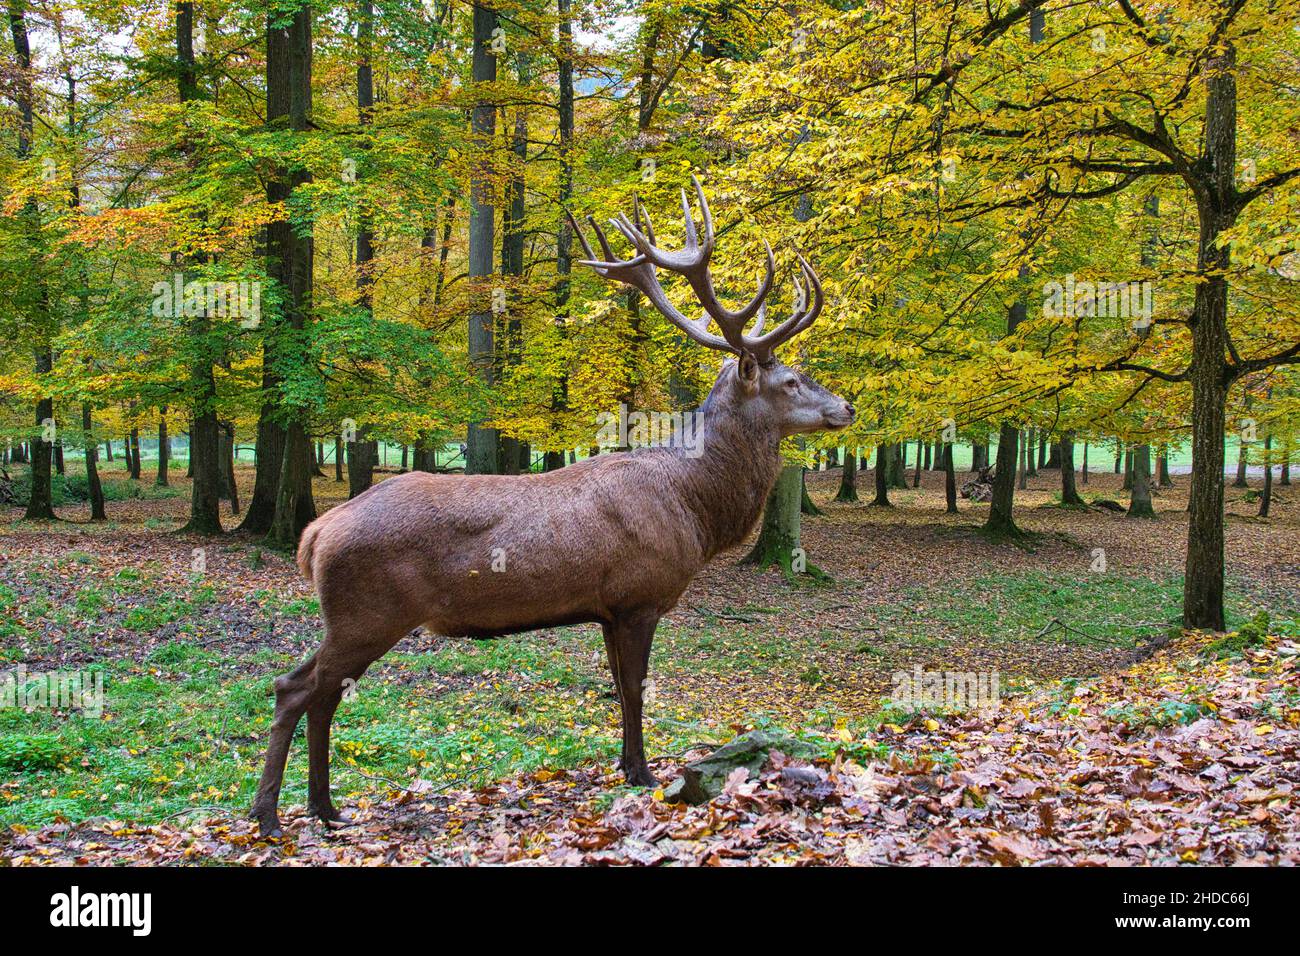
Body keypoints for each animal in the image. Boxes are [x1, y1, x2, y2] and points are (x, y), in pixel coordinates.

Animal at [250, 178, 854, 838]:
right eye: (791, 381)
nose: (847, 407)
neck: (695, 508)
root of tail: (313, 535)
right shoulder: (640, 596)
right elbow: (636, 687)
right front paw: (644, 774)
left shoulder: (607, 608)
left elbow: (617, 685)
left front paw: (624, 765)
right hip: (366, 612)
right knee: (294, 687)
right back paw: (269, 815)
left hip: (353, 617)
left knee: (313, 692)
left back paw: (323, 807)